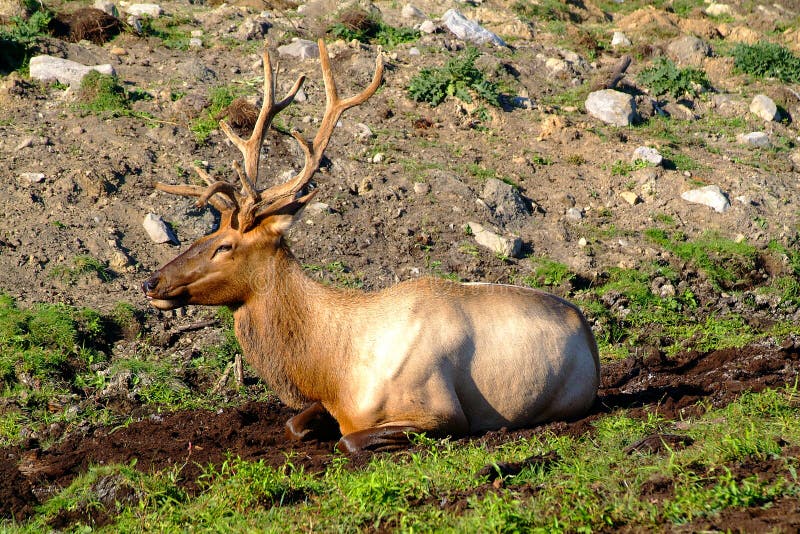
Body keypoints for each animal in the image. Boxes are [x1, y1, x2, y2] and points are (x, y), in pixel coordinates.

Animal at [142, 39, 600, 453]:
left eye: (224, 245)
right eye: (206, 233)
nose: (151, 282)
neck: (332, 370)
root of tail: (589, 332)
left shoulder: (443, 412)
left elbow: (350, 441)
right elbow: (293, 425)